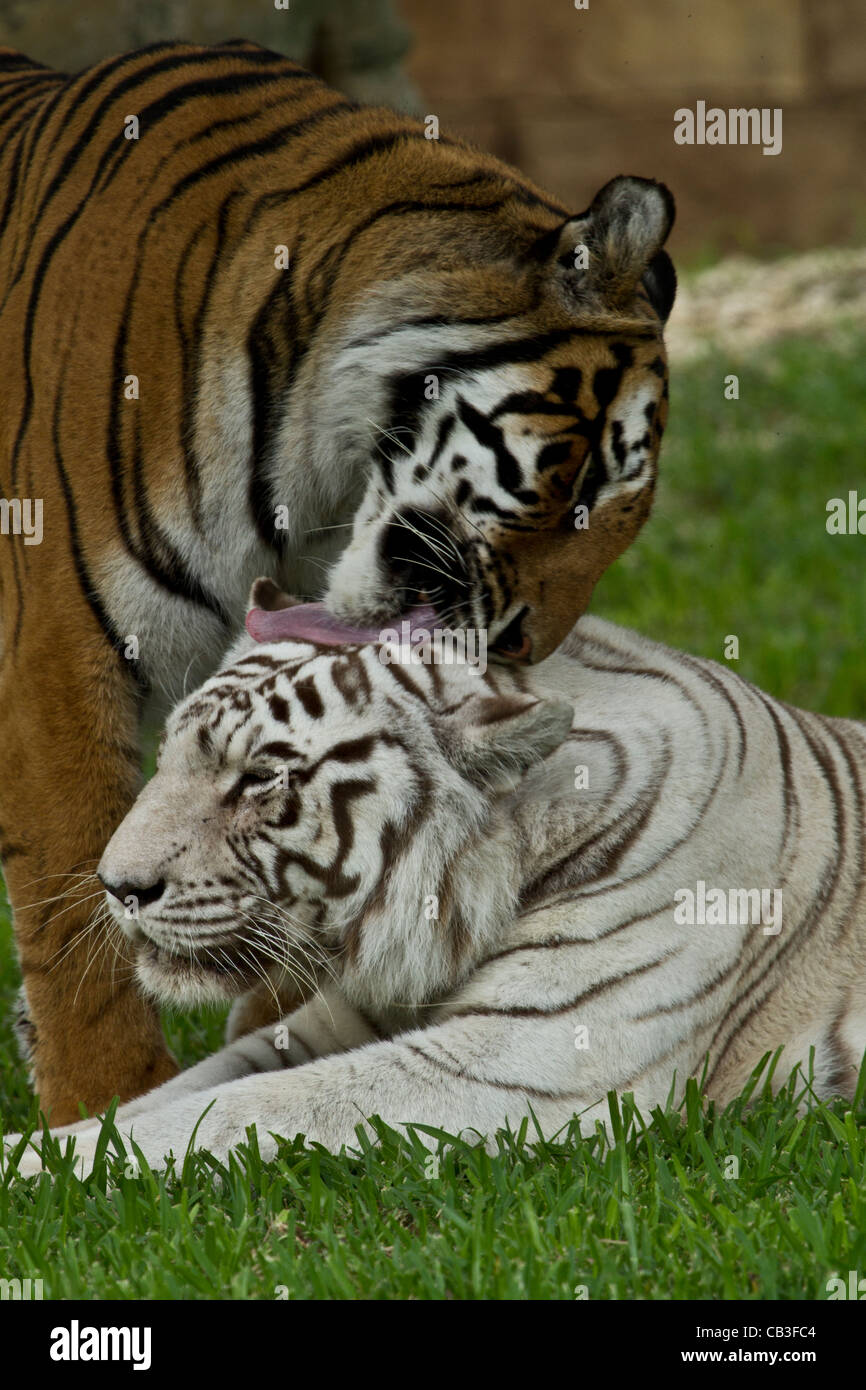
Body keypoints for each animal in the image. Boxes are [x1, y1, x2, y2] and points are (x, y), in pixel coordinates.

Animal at [7, 580, 865, 1178]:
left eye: (259, 780)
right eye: (169, 758)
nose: (117, 886)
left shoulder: (523, 1066)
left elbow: (235, 1109)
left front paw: (30, 1170)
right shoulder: (325, 1026)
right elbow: (170, 1097)